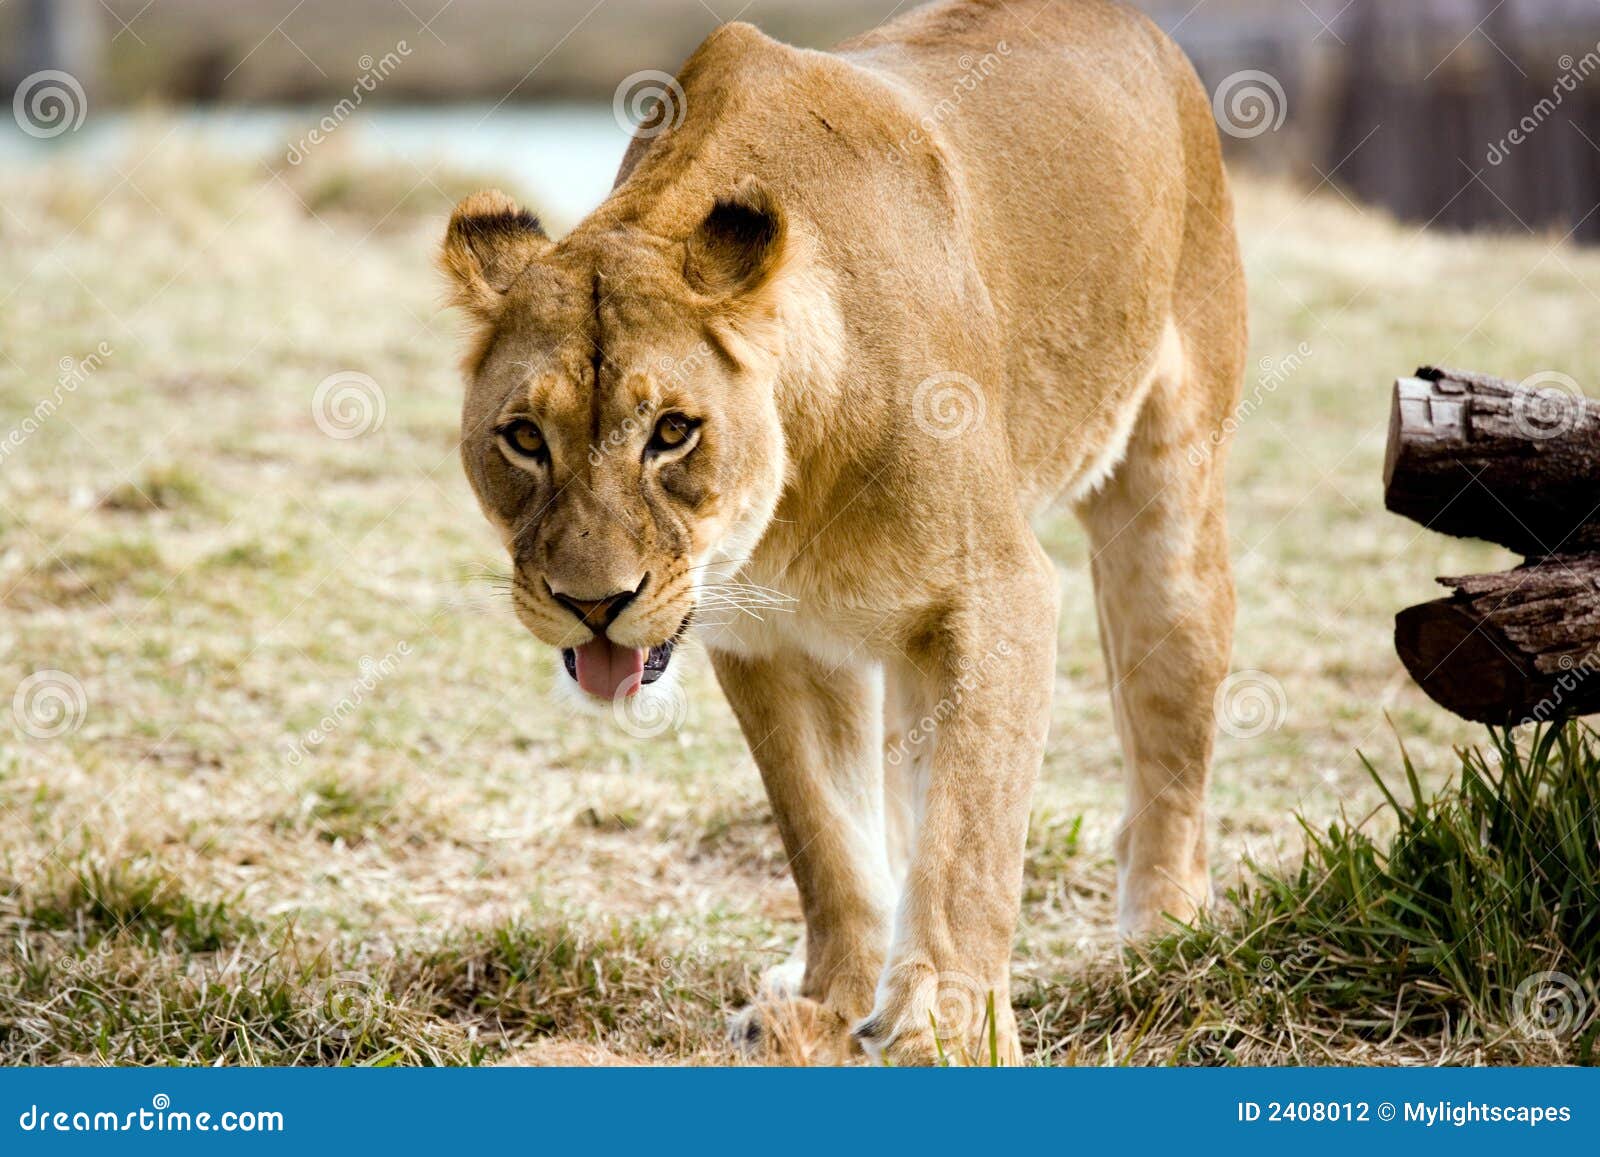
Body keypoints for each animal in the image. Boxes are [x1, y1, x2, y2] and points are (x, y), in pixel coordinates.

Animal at [440, 0, 1246, 1065]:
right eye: (526, 438)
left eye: (673, 432)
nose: (593, 603)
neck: (792, 486)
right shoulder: (767, 636)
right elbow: (827, 837)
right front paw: (829, 1005)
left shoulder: (998, 596)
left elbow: (970, 841)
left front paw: (948, 1030)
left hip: (1168, 510)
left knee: (1171, 742)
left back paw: (1162, 935)